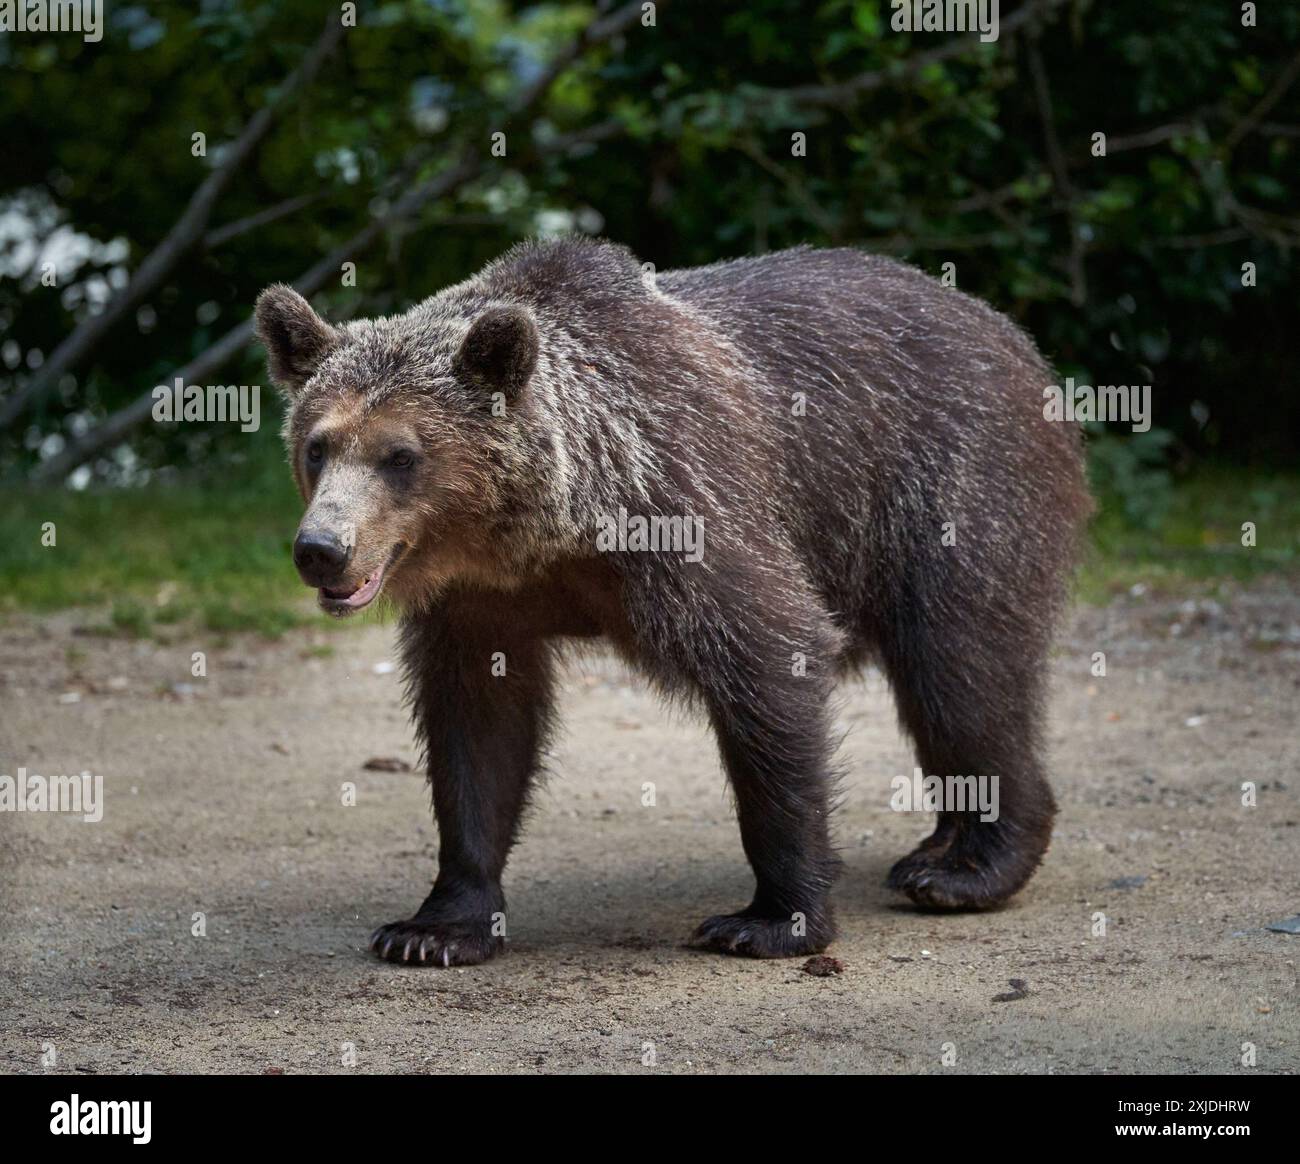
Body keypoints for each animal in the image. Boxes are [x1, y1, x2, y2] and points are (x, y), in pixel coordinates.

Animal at [254, 237, 1091, 967]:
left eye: (401, 455)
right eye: (317, 446)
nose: (321, 547)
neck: (555, 529)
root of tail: (1009, 333)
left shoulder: (689, 506)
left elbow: (769, 658)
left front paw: (770, 919)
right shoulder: (481, 603)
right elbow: (478, 729)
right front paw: (435, 927)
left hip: (947, 490)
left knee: (958, 668)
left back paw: (965, 869)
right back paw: (937, 846)